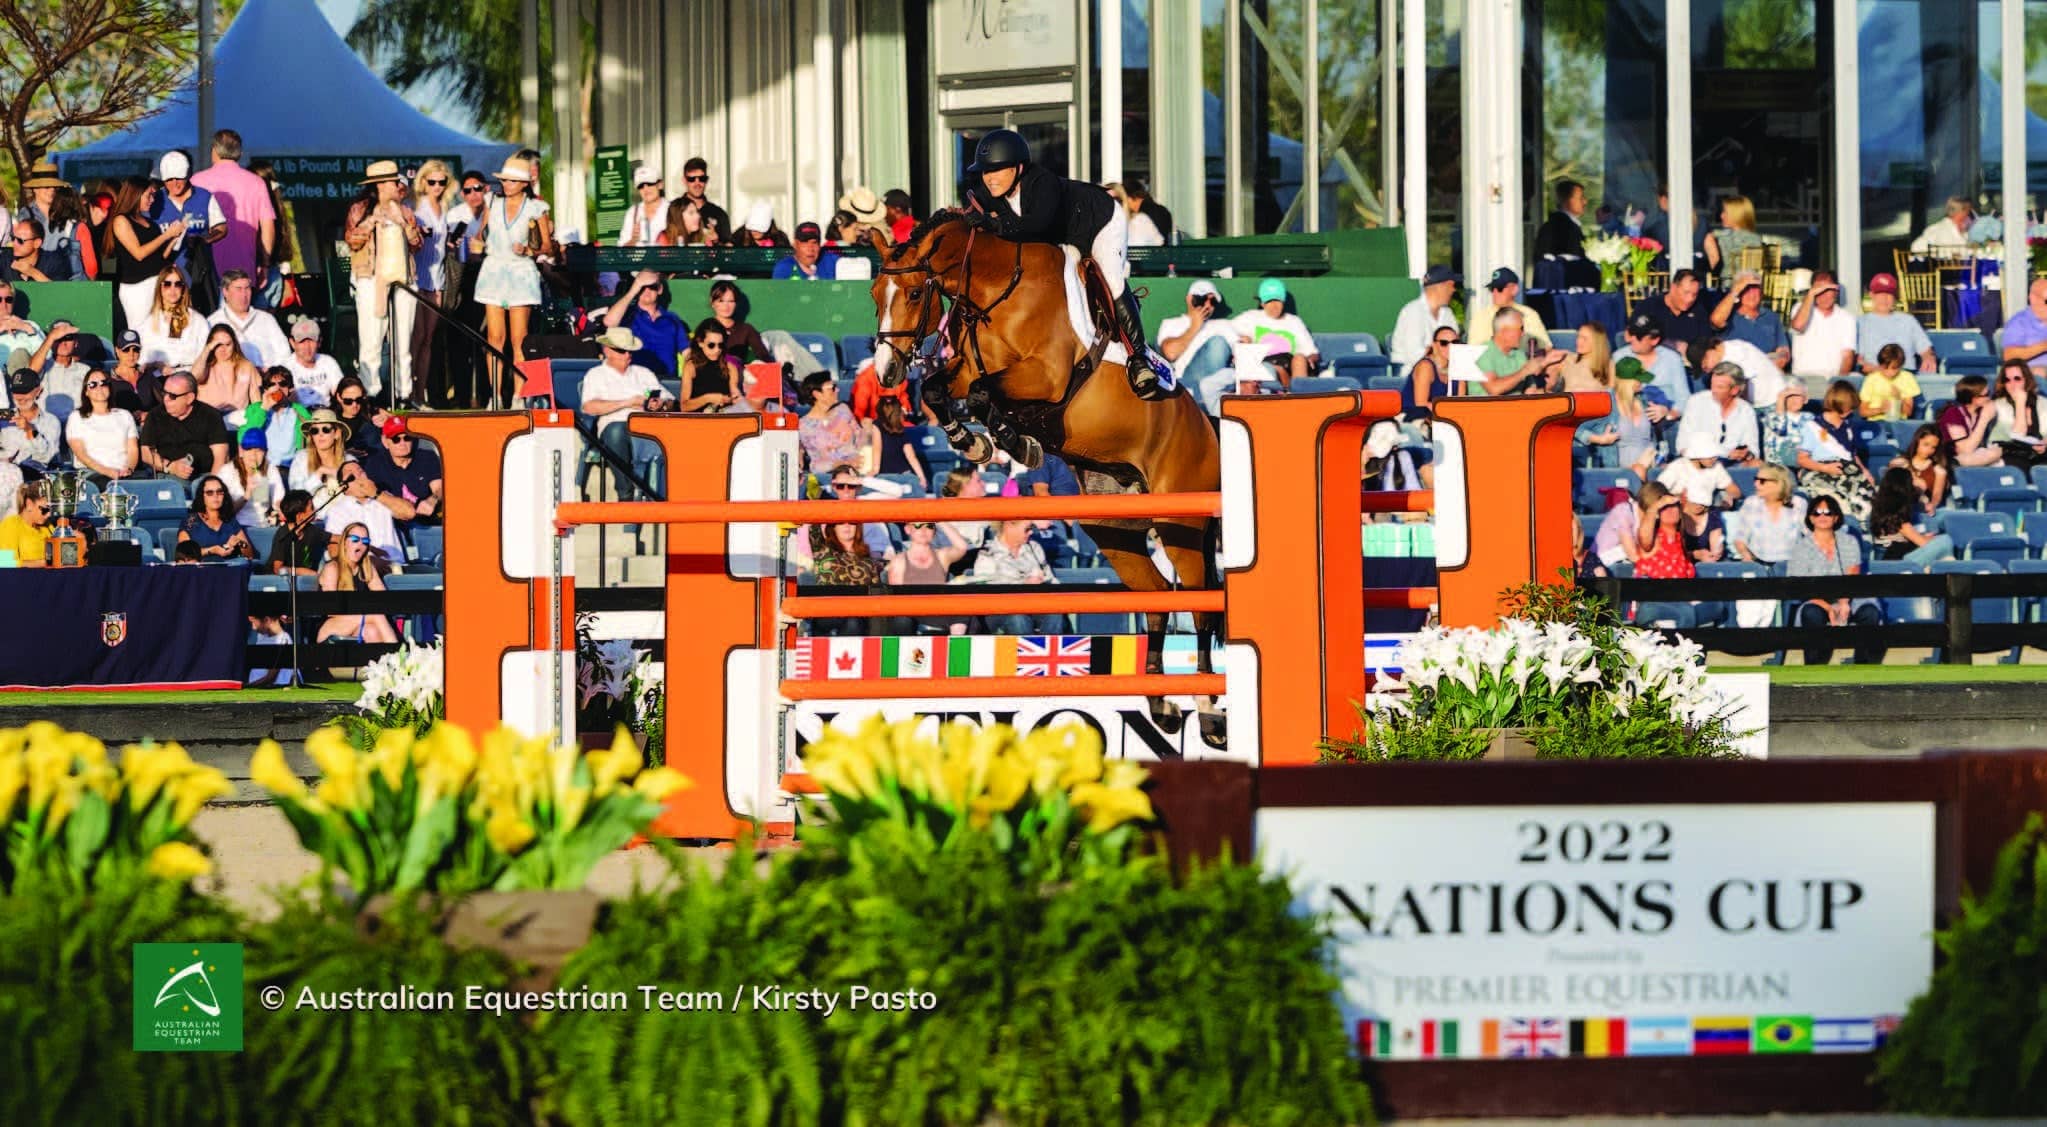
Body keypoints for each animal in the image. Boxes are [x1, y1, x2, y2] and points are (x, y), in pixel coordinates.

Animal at [865, 213, 1225, 746]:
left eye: (912, 293)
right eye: (874, 293)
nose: (887, 372)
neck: (994, 293)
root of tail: (1209, 428)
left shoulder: (1046, 377)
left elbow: (982, 392)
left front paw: (1013, 439)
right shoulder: (965, 369)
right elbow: (940, 388)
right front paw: (980, 442)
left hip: (1182, 524)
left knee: (1201, 605)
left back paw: (1208, 711)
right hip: (1115, 531)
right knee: (1159, 595)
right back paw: (1161, 706)